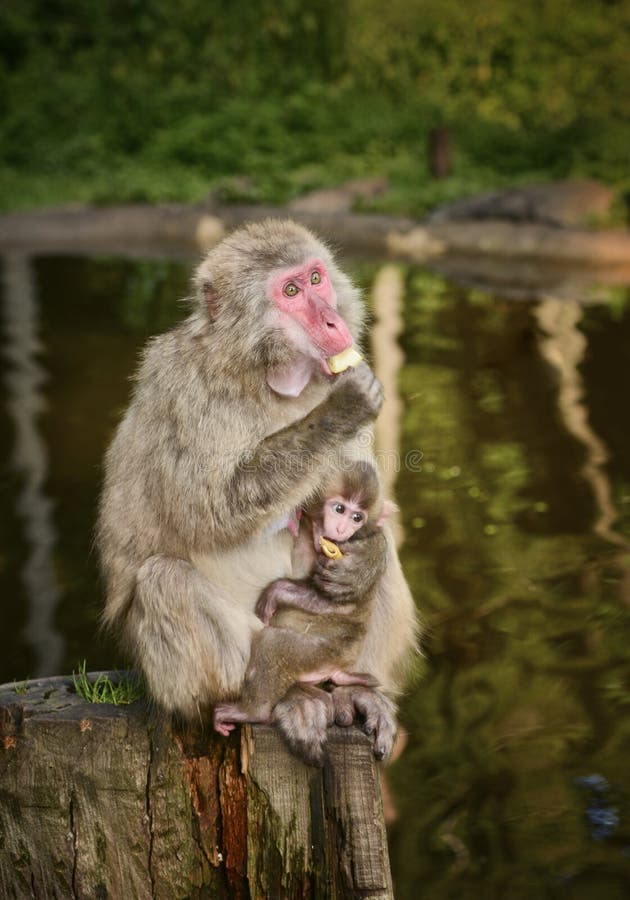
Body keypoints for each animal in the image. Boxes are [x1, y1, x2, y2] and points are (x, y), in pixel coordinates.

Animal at [213, 461, 390, 736]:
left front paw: (275, 592)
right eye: (340, 509)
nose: (342, 529)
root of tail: (338, 667)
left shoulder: (345, 554)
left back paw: (253, 712)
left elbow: (328, 601)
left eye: (357, 518)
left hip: (318, 653)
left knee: (274, 643)